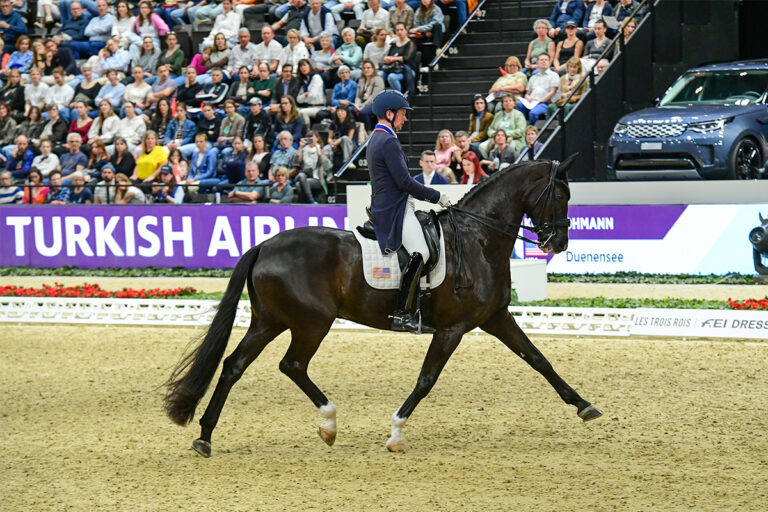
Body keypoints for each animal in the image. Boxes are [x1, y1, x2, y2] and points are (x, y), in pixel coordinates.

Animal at [164, 156, 602, 457]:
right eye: (561, 194)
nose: (559, 243)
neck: (477, 237)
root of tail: (264, 245)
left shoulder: (495, 317)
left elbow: (539, 360)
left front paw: (584, 406)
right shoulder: (453, 328)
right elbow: (426, 380)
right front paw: (395, 432)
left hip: (270, 321)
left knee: (234, 366)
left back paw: (205, 436)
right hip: (311, 322)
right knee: (292, 365)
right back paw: (328, 423)